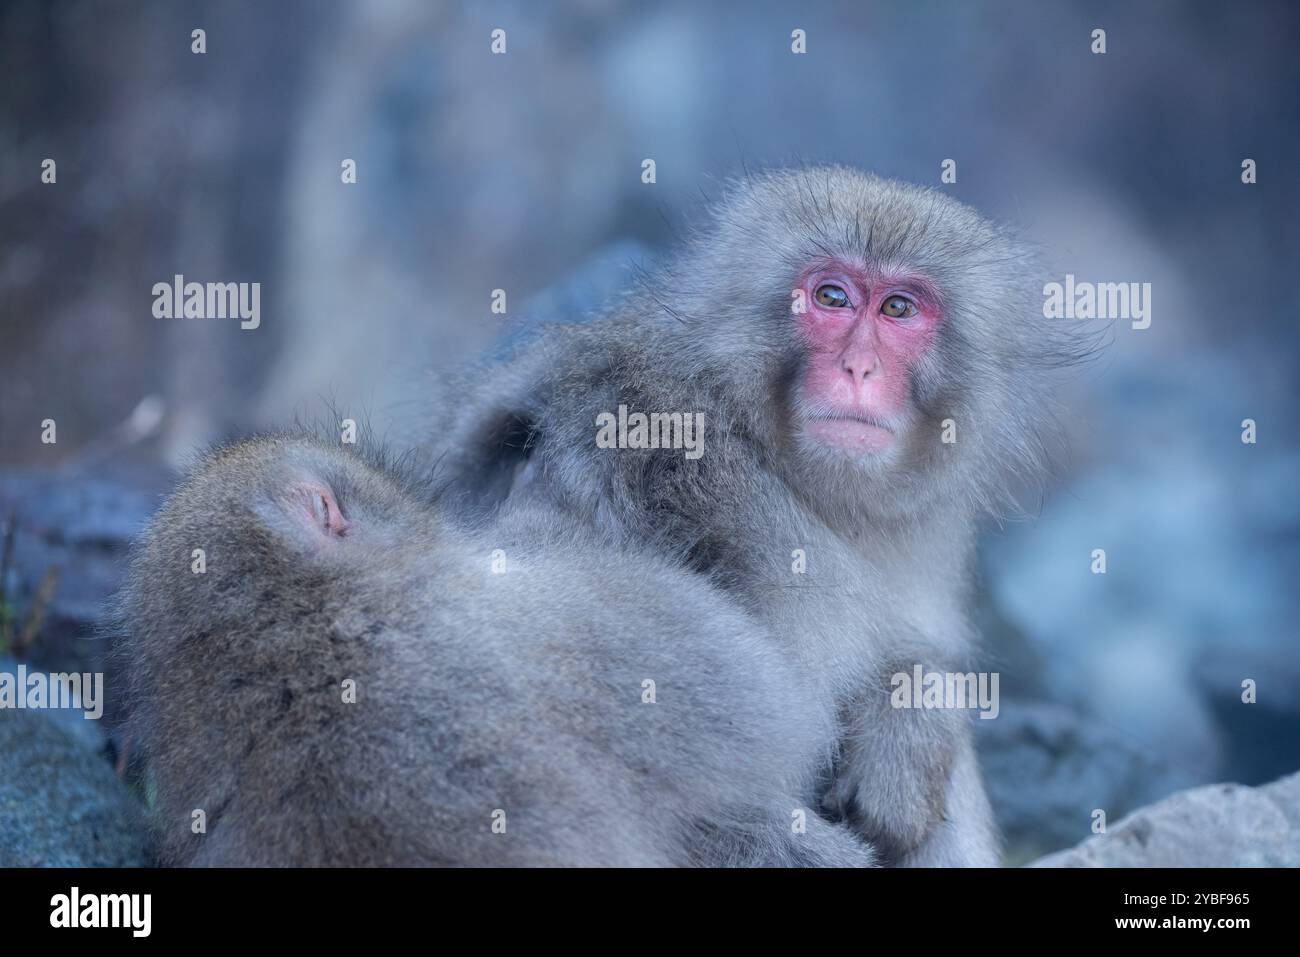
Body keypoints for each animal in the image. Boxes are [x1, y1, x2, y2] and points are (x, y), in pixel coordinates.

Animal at [400, 166, 1088, 866]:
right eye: (832, 297)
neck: (762, 450)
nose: (858, 367)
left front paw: (913, 708)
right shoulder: (630, 450)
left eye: (898, 308)